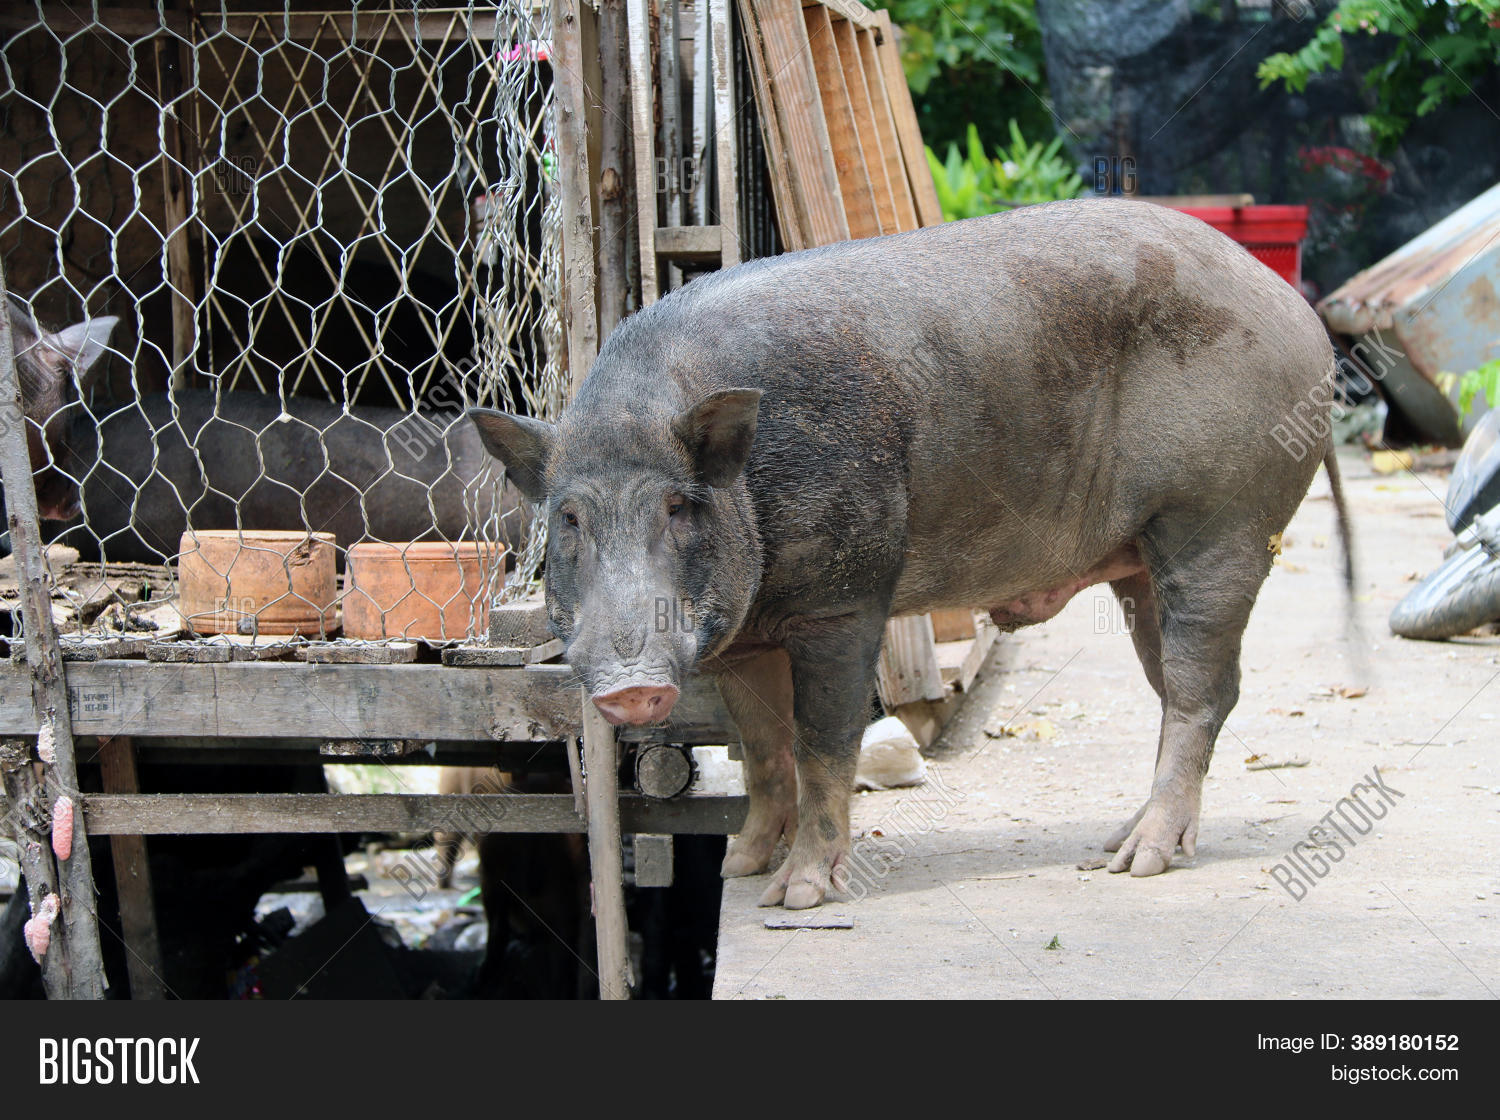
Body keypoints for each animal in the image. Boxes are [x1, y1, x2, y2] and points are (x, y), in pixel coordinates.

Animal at [468, 198, 1354, 909]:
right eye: (569, 518)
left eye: (679, 506)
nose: (633, 686)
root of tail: (1300, 317)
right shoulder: (743, 637)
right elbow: (762, 751)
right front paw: (739, 869)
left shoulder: (845, 596)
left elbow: (822, 744)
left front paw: (798, 897)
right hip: (1142, 561)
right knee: (1186, 688)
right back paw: (1114, 844)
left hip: (1222, 519)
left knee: (1202, 688)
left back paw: (1137, 864)